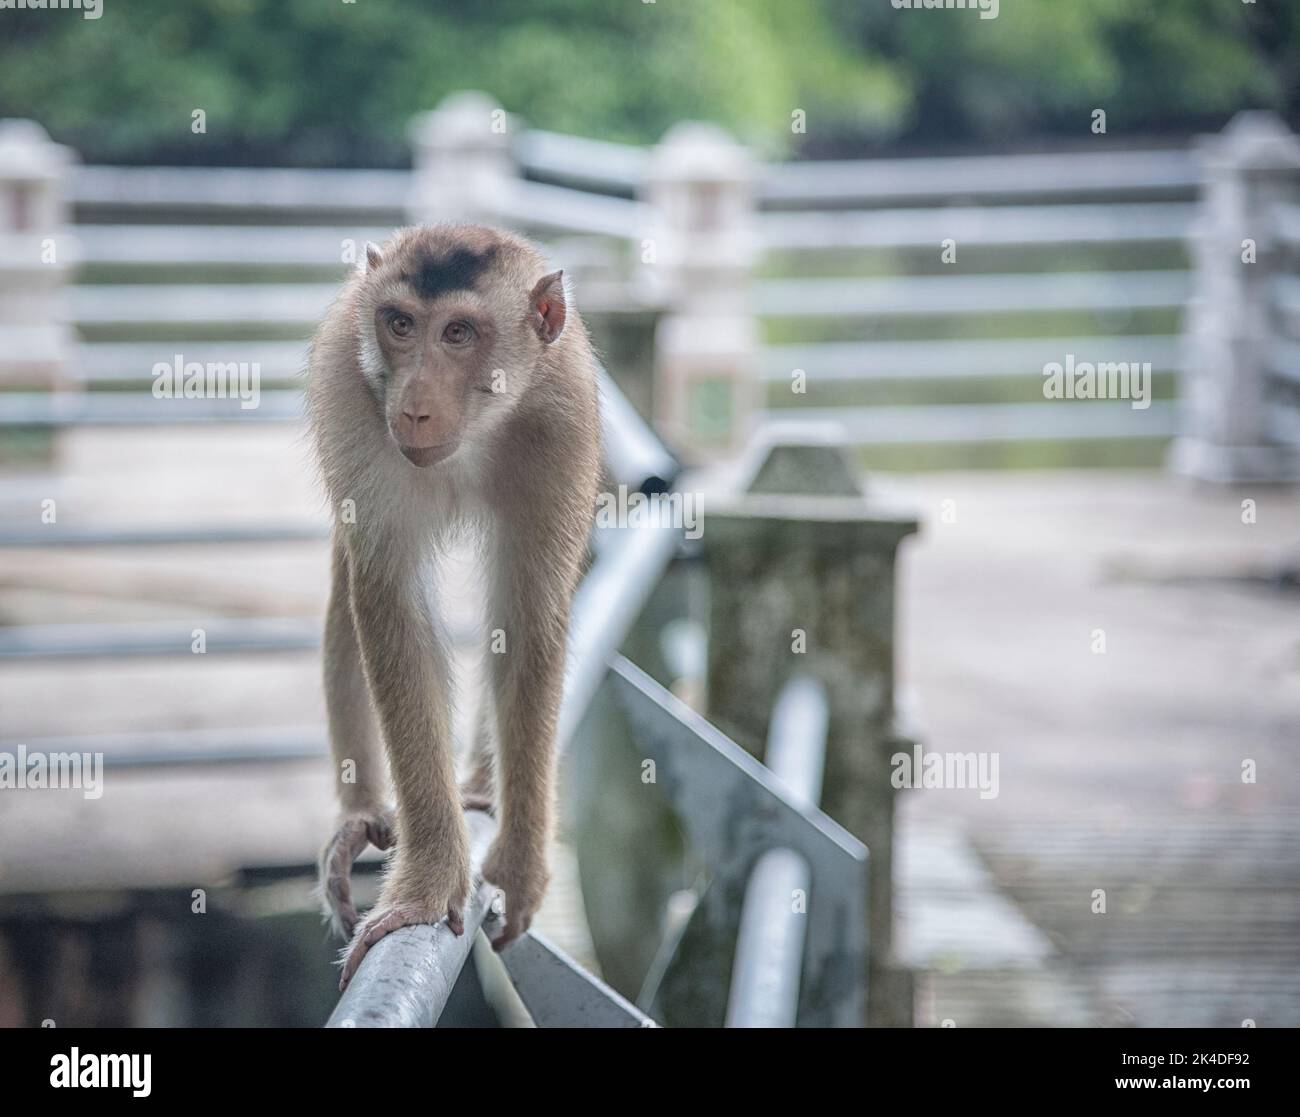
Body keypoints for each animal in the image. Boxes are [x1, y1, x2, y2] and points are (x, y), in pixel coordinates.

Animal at [306, 224, 600, 991]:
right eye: (401, 325)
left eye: (460, 333)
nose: (413, 403)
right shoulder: (351, 399)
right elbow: (389, 603)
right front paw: (430, 882)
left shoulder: (561, 421)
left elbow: (529, 617)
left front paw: (519, 865)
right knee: (349, 574)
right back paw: (363, 811)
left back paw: (481, 783)